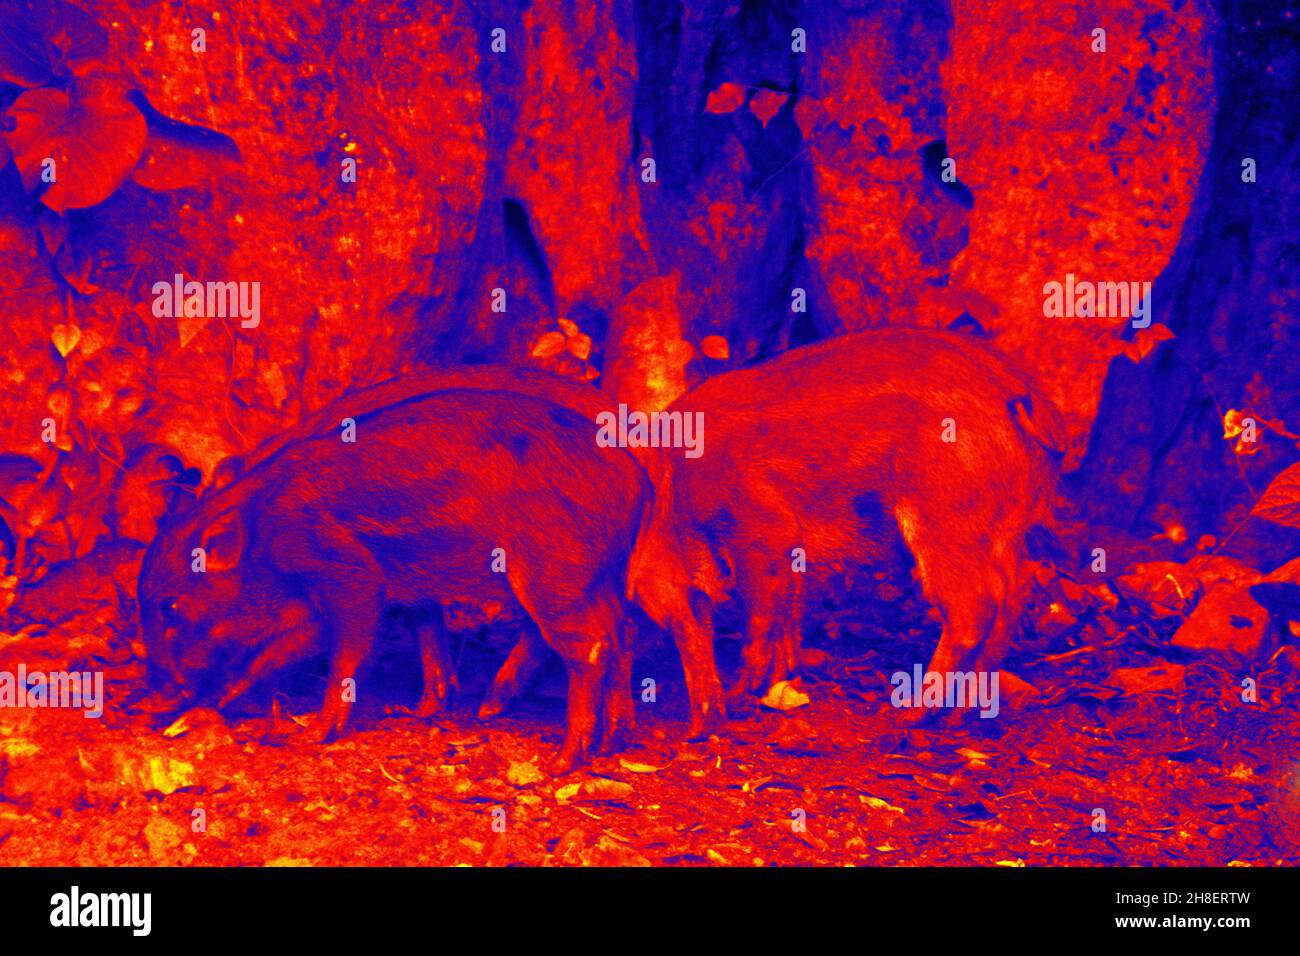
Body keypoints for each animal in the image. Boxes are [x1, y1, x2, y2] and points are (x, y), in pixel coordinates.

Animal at [138, 387, 654, 772]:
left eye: (171, 606)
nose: (152, 700)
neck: (264, 531)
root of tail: (637, 480)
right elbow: (278, 655)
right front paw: (417, 712)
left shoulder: (349, 575)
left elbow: (341, 654)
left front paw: (313, 735)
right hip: (603, 578)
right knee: (621, 633)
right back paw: (612, 740)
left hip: (553, 572)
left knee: (587, 646)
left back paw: (560, 760)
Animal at [627, 328, 1066, 710]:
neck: (676, 487)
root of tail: (1022, 394)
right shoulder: (789, 551)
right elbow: (788, 613)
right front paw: (782, 681)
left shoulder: (764, 531)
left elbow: (760, 617)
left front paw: (741, 693)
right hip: (1003, 527)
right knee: (1014, 591)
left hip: (945, 519)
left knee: (973, 606)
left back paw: (910, 713)